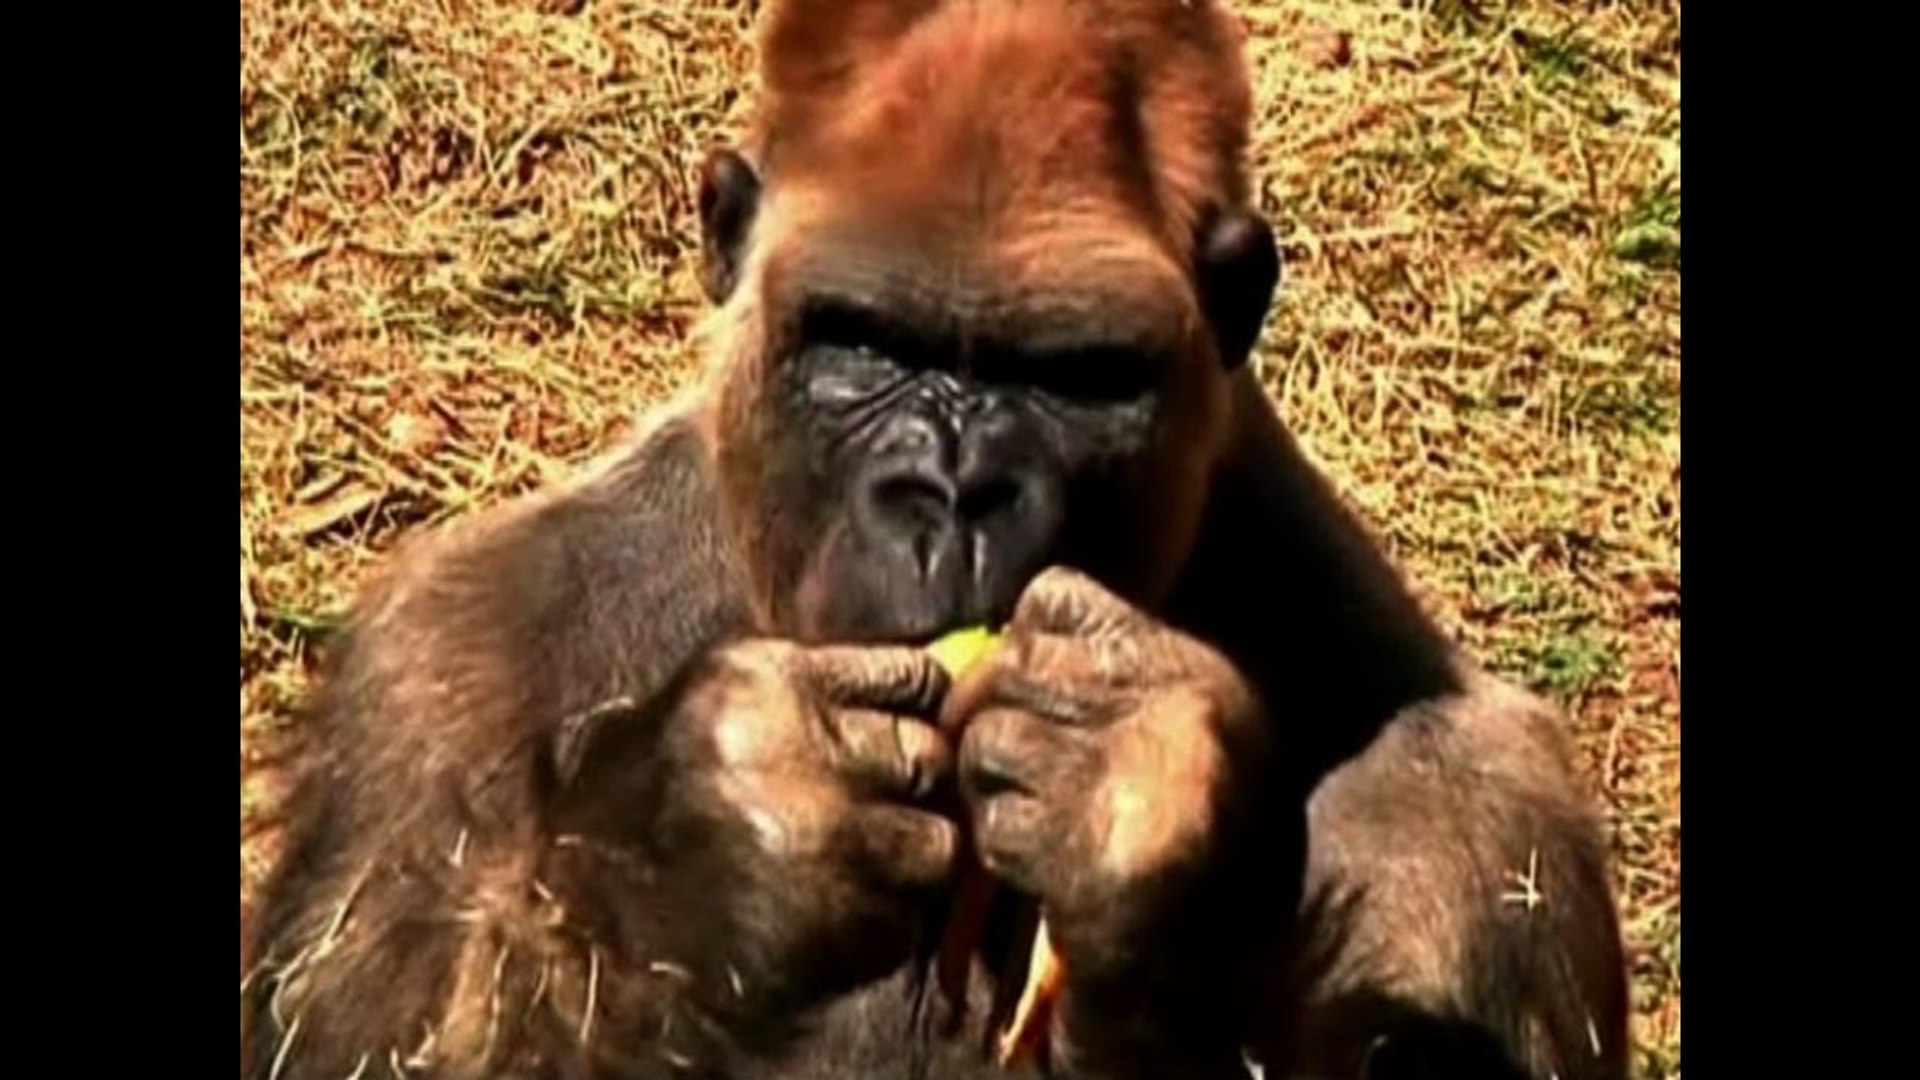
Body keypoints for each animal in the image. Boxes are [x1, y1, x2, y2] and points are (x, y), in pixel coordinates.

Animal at [240, 2, 1629, 1078]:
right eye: (866, 343)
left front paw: (1137, 800)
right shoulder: (441, 664)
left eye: (1078, 376)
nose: (955, 497)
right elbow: (359, 1042)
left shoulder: (1483, 821)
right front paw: (707, 863)